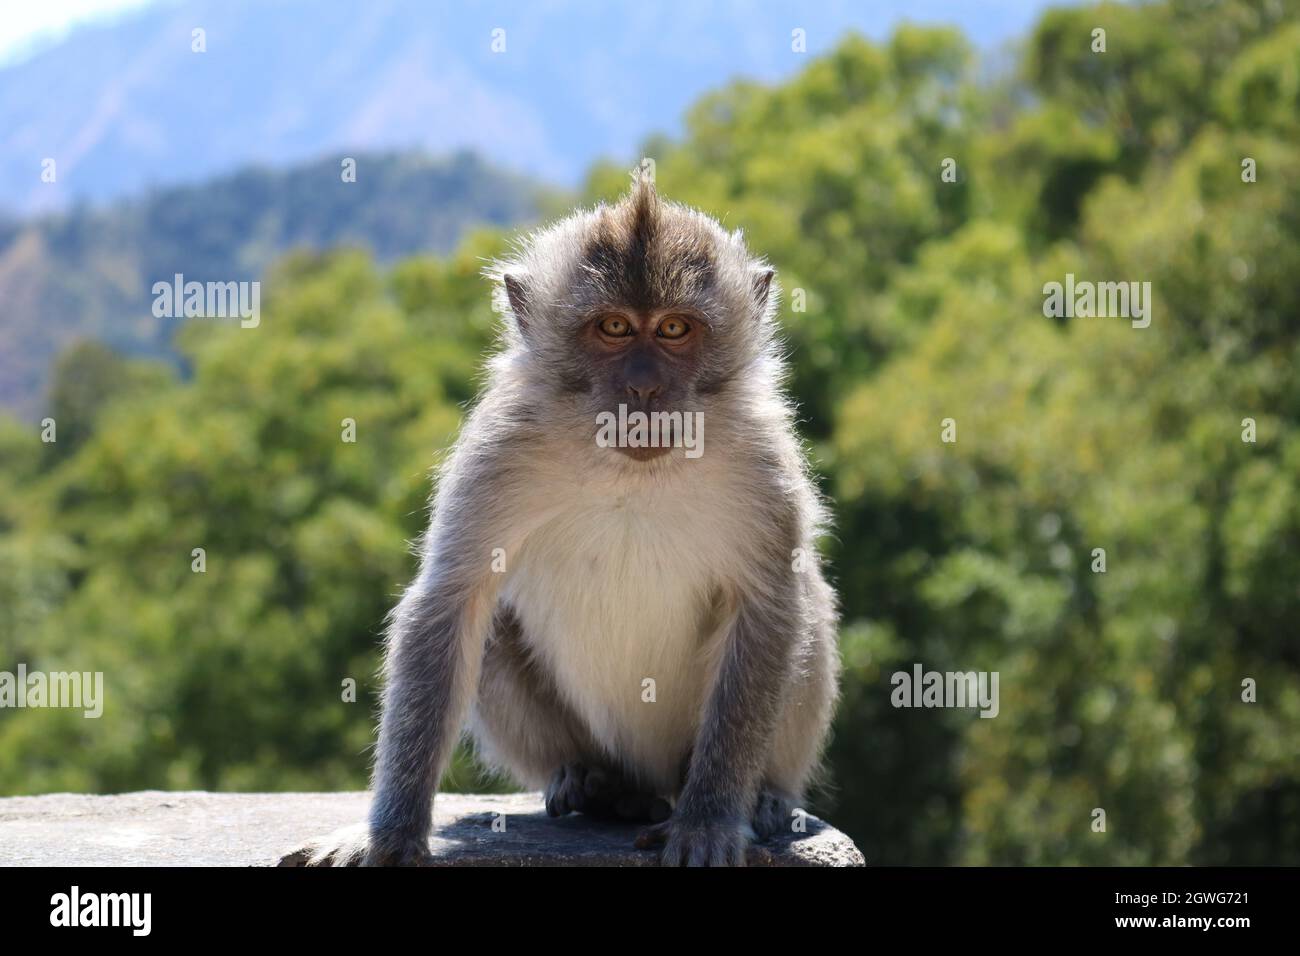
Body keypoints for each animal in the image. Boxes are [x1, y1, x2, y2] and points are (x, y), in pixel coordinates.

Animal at [299, 173, 839, 867]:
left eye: (673, 328)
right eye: (613, 327)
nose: (643, 389)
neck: (627, 469)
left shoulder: (763, 462)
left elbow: (768, 605)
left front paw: (710, 820)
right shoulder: (501, 445)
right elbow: (451, 602)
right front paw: (390, 834)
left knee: (808, 605)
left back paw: (764, 796)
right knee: (495, 626)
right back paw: (598, 784)